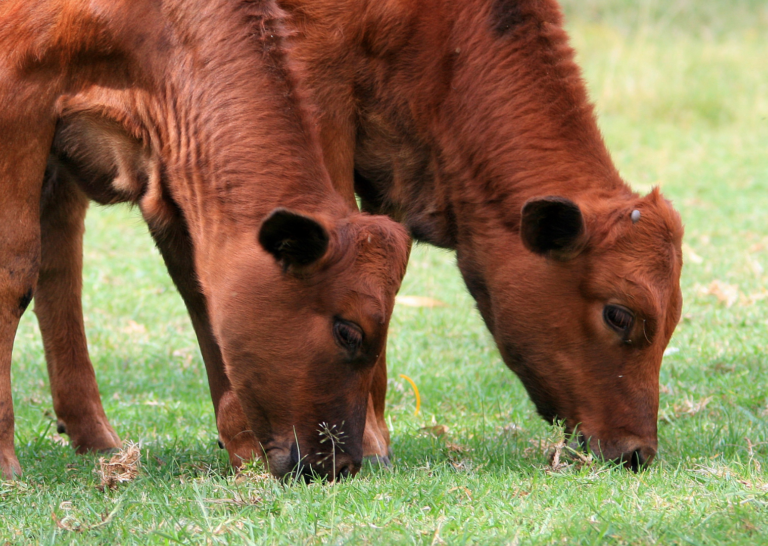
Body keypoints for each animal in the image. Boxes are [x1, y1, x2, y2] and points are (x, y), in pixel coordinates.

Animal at [0, 0, 410, 481]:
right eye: (348, 332)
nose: (342, 464)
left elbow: (200, 296)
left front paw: (245, 452)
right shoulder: (18, 98)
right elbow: (13, 272)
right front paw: (4, 459)